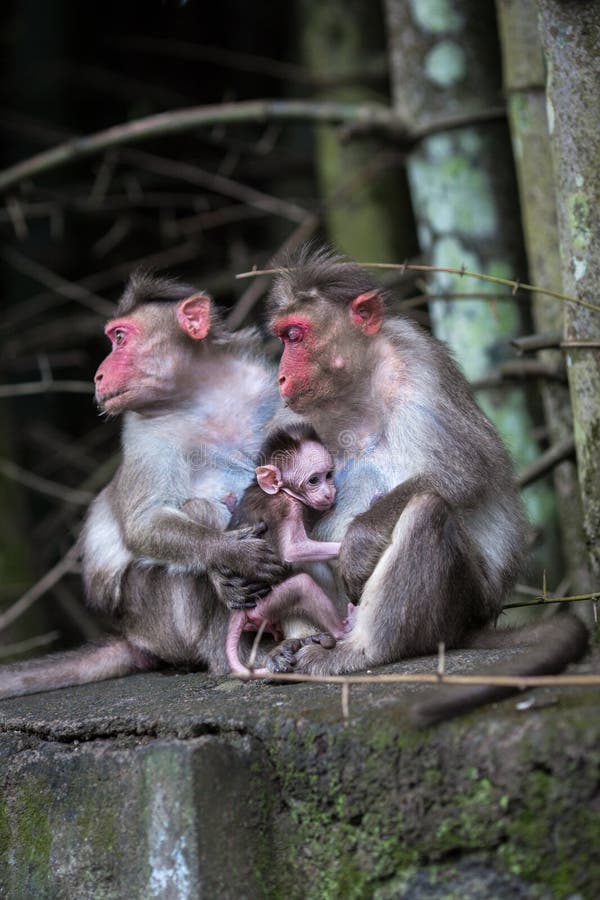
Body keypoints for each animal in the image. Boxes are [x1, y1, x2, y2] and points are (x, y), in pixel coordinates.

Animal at [0, 272, 285, 699]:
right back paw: (232, 649)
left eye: (120, 337)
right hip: (155, 619)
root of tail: (131, 636)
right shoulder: (146, 430)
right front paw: (231, 556)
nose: (98, 375)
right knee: (199, 512)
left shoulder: (266, 384)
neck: (203, 390)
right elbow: (145, 523)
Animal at [210, 422, 353, 676]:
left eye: (328, 475)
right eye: (314, 480)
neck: (281, 491)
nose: (329, 493)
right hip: (264, 606)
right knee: (303, 585)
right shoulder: (286, 506)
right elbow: (291, 551)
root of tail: (239, 612)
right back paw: (342, 629)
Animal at [261, 246, 588, 719]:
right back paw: (297, 644)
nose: (281, 376)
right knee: (287, 534)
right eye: (283, 337)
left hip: (461, 602)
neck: (355, 391)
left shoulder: (419, 365)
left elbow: (461, 473)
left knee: (427, 512)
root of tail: (475, 622)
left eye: (295, 335)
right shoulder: (291, 416)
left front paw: (359, 542)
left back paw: (362, 651)